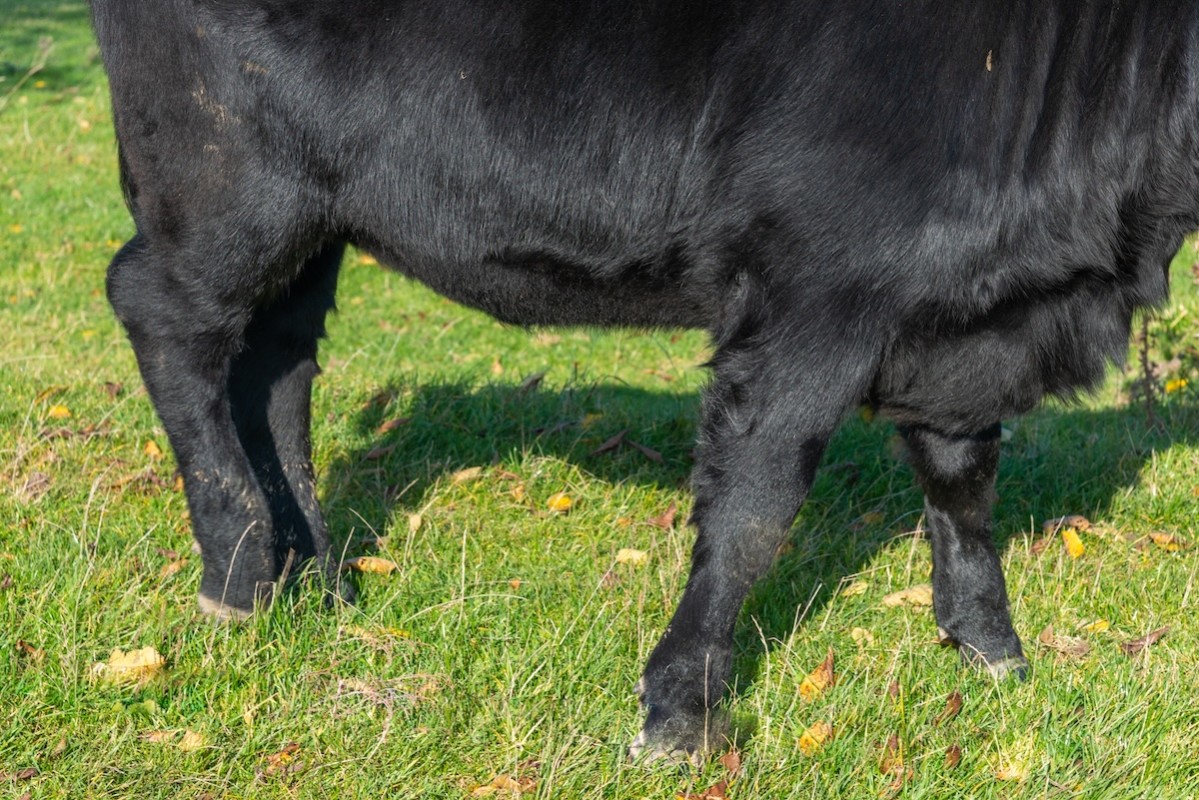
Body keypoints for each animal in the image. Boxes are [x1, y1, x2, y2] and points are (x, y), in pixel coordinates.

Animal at [91, 0, 1199, 762]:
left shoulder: (960, 329)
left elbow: (962, 486)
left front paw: (991, 650)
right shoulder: (810, 302)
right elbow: (754, 509)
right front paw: (679, 712)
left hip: (310, 224)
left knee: (274, 369)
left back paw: (312, 577)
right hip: (221, 186)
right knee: (166, 318)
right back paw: (236, 572)